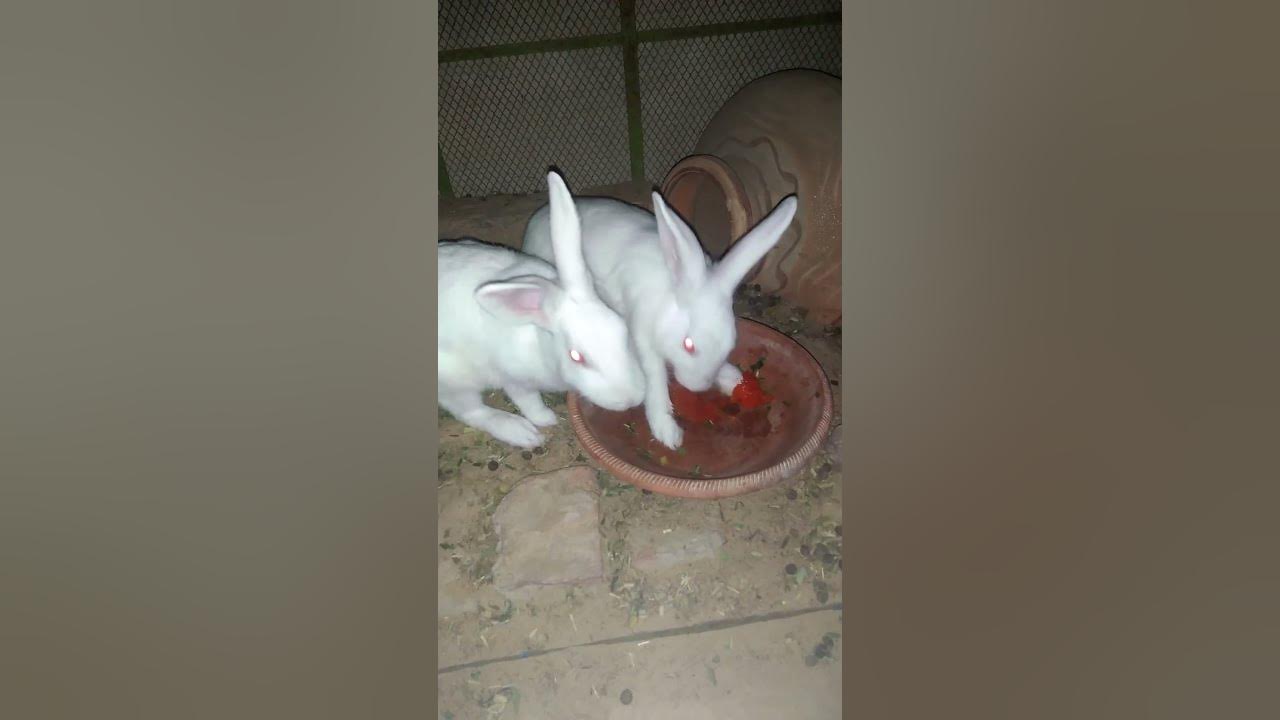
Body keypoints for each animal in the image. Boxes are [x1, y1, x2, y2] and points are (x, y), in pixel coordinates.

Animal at [437, 171, 645, 449]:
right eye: (576, 356)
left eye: (623, 333)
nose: (631, 399)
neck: (538, 338)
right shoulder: (514, 378)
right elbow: (527, 399)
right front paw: (546, 419)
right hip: (455, 381)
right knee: (472, 411)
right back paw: (521, 432)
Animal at [522, 188, 798, 449]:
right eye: (688, 345)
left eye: (731, 343)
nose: (698, 387)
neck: (667, 302)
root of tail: (536, 217)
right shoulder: (641, 337)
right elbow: (655, 377)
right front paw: (667, 432)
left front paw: (733, 380)